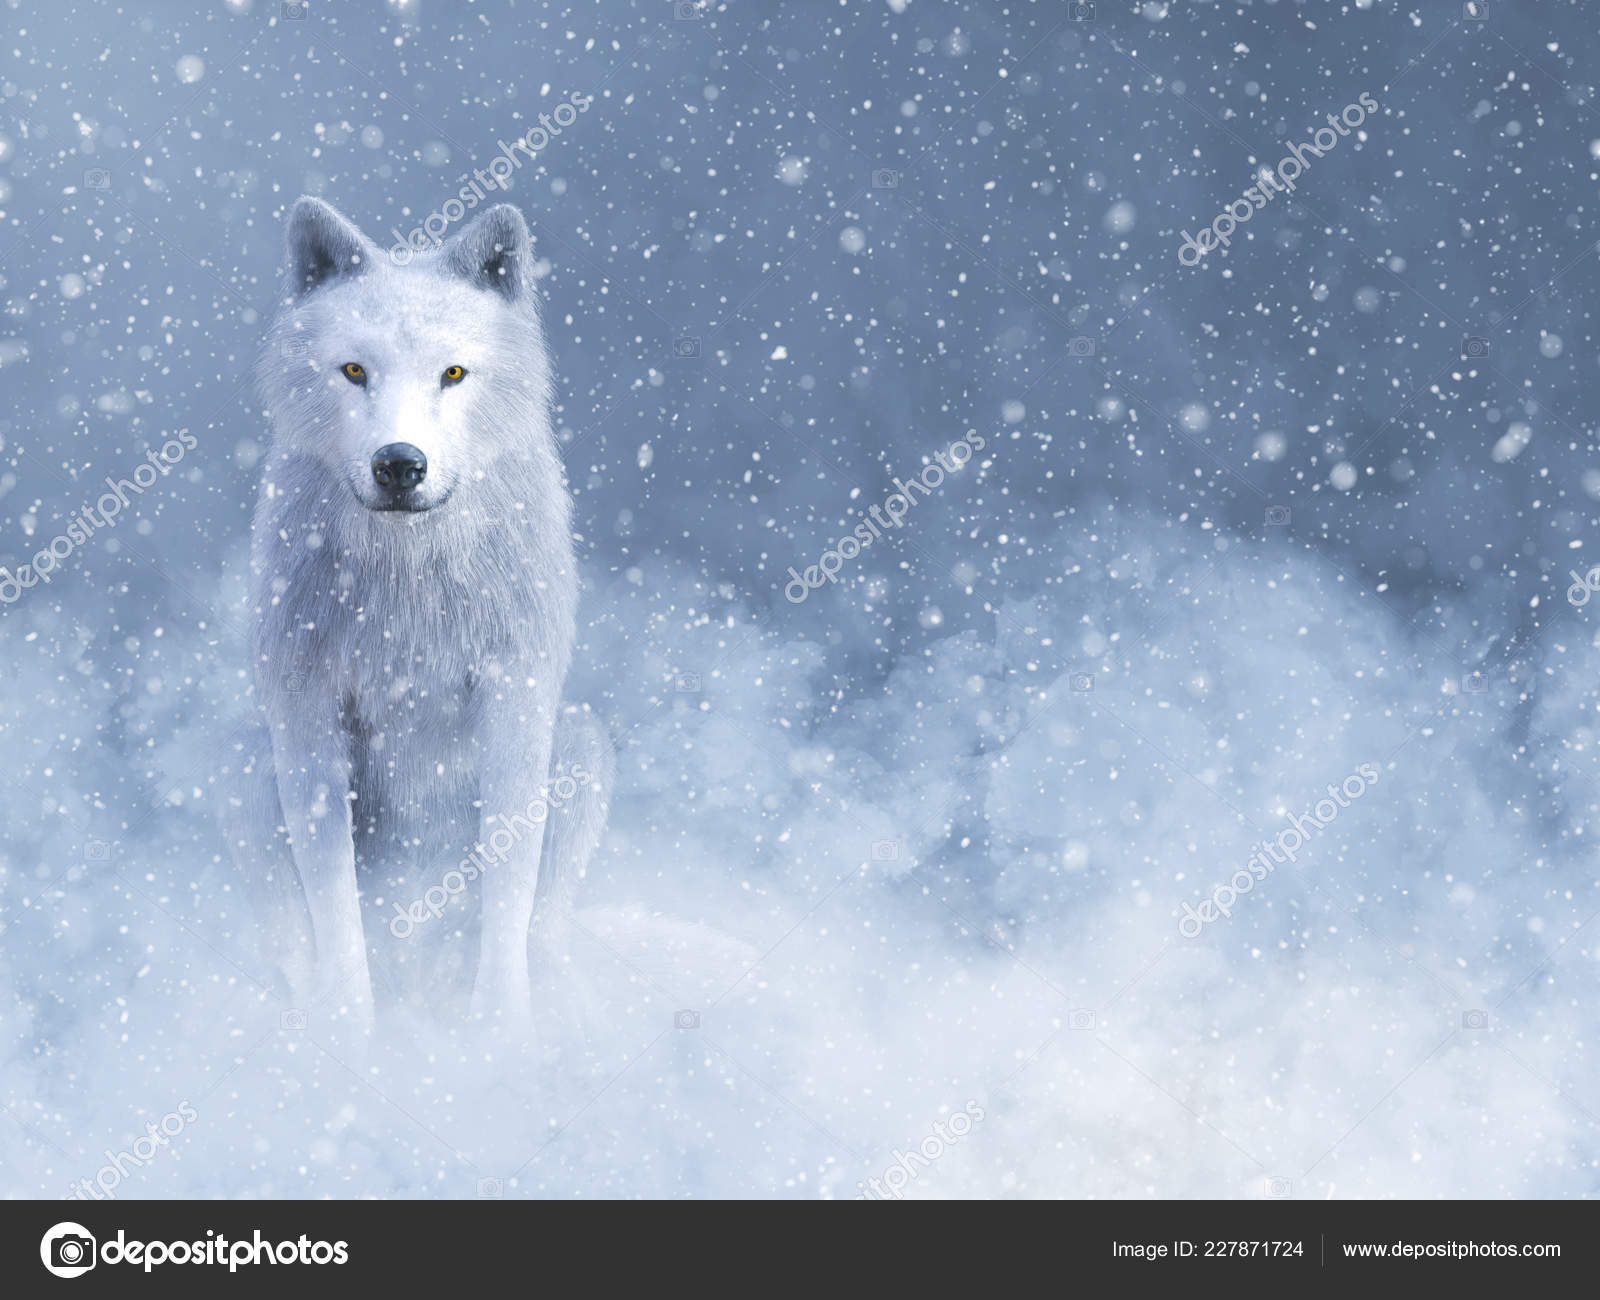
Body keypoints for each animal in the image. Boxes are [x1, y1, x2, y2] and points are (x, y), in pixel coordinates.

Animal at [221, 196, 611, 1038]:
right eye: (354, 370)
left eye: (453, 373)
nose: (400, 464)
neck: (408, 583)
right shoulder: (306, 709)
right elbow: (333, 898)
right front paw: (350, 1036)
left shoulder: (515, 697)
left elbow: (508, 878)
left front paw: (500, 1035)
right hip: (243, 766)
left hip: (582, 743)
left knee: (544, 925)